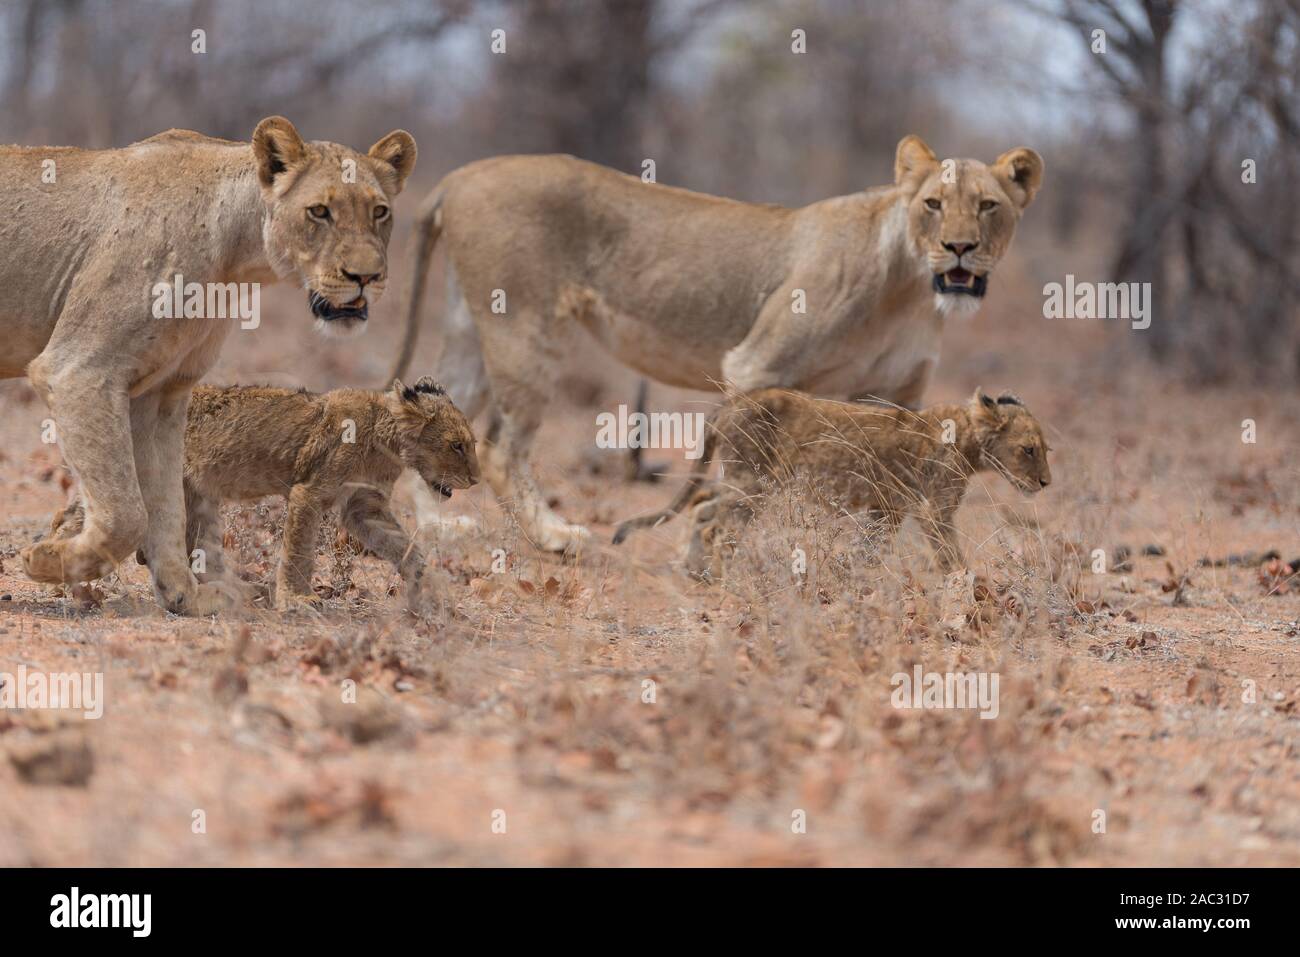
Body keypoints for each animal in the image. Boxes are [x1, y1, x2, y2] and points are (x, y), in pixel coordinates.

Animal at [1, 116, 416, 614]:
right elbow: (127, 512)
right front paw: (44, 560)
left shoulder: (162, 391)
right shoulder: (79, 369)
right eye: (319, 211)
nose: (367, 277)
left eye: (379, 211)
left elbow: (163, 505)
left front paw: (185, 596)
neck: (236, 260)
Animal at [50, 377, 479, 611]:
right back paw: (59, 571)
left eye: (470, 444)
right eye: (457, 445)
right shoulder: (309, 491)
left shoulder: (364, 506)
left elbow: (405, 547)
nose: (476, 479)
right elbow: (299, 553)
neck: (388, 442)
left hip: (196, 497)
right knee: (80, 519)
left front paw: (430, 592)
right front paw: (297, 599)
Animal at [389, 135, 1043, 555]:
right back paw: (554, 537)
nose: (959, 248)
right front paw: (718, 552)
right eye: (933, 204)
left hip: (473, 324)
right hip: (525, 328)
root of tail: (459, 175)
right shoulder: (758, 365)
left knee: (443, 414)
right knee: (504, 448)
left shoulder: (897, 397)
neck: (909, 288)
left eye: (989, 206)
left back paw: (440, 530)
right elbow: (737, 481)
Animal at [613, 388, 1051, 578]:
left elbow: (868, 550)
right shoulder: (934, 509)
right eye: (1029, 450)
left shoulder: (887, 510)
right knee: (710, 516)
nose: (1046, 483)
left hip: (748, 481)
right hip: (753, 482)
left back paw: (697, 568)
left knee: (704, 503)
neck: (971, 442)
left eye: (1046, 449)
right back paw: (713, 572)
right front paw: (969, 586)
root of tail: (735, 400)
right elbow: (949, 554)